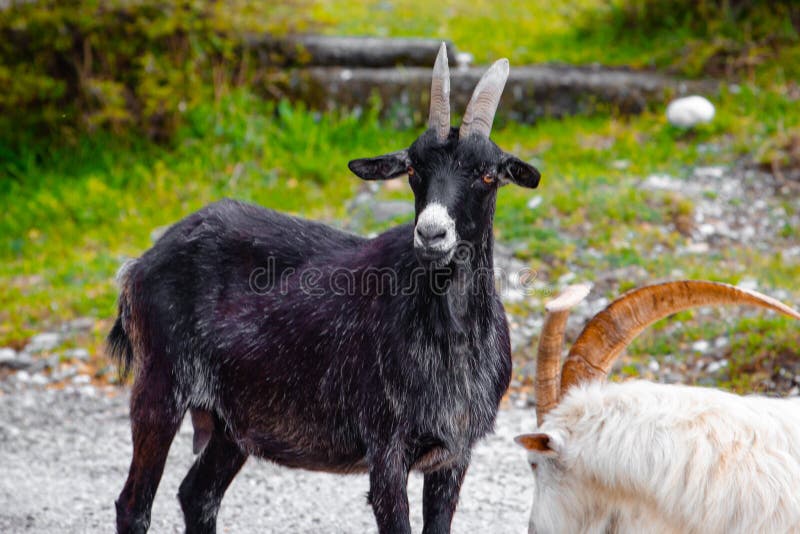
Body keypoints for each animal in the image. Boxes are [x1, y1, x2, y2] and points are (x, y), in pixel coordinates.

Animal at [108, 43, 541, 534]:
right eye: (413, 168)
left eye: (487, 175)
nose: (432, 234)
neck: (451, 338)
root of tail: (142, 262)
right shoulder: (386, 449)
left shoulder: (454, 455)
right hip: (161, 384)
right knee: (134, 504)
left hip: (232, 421)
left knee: (197, 495)